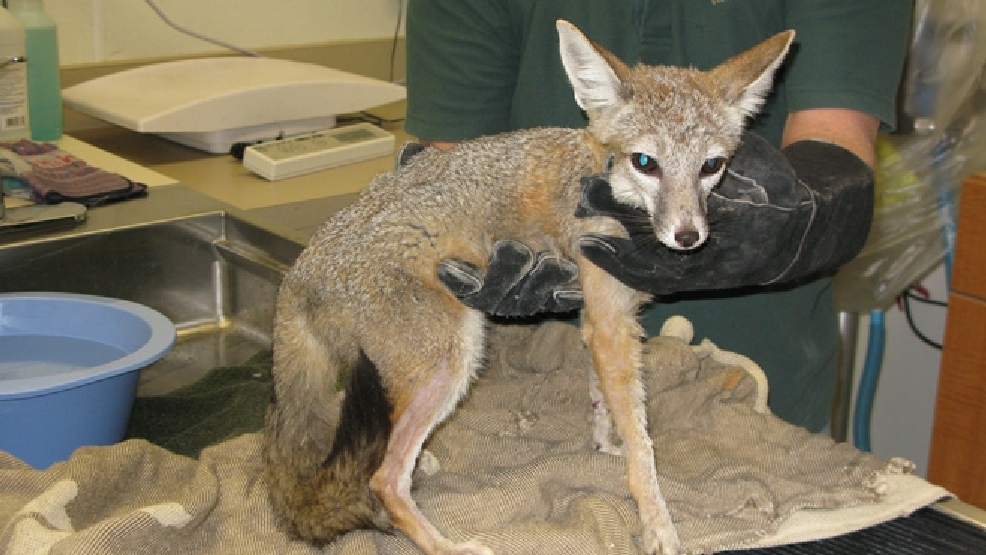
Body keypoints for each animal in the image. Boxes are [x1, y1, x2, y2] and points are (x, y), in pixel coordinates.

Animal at [262, 20, 794, 555]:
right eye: (646, 162)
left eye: (711, 166)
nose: (688, 237)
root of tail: (301, 269)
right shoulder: (611, 322)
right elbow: (642, 442)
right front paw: (657, 521)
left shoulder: (599, 318)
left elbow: (603, 400)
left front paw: (604, 446)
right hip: (451, 359)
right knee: (382, 477)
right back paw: (445, 543)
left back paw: (422, 463)